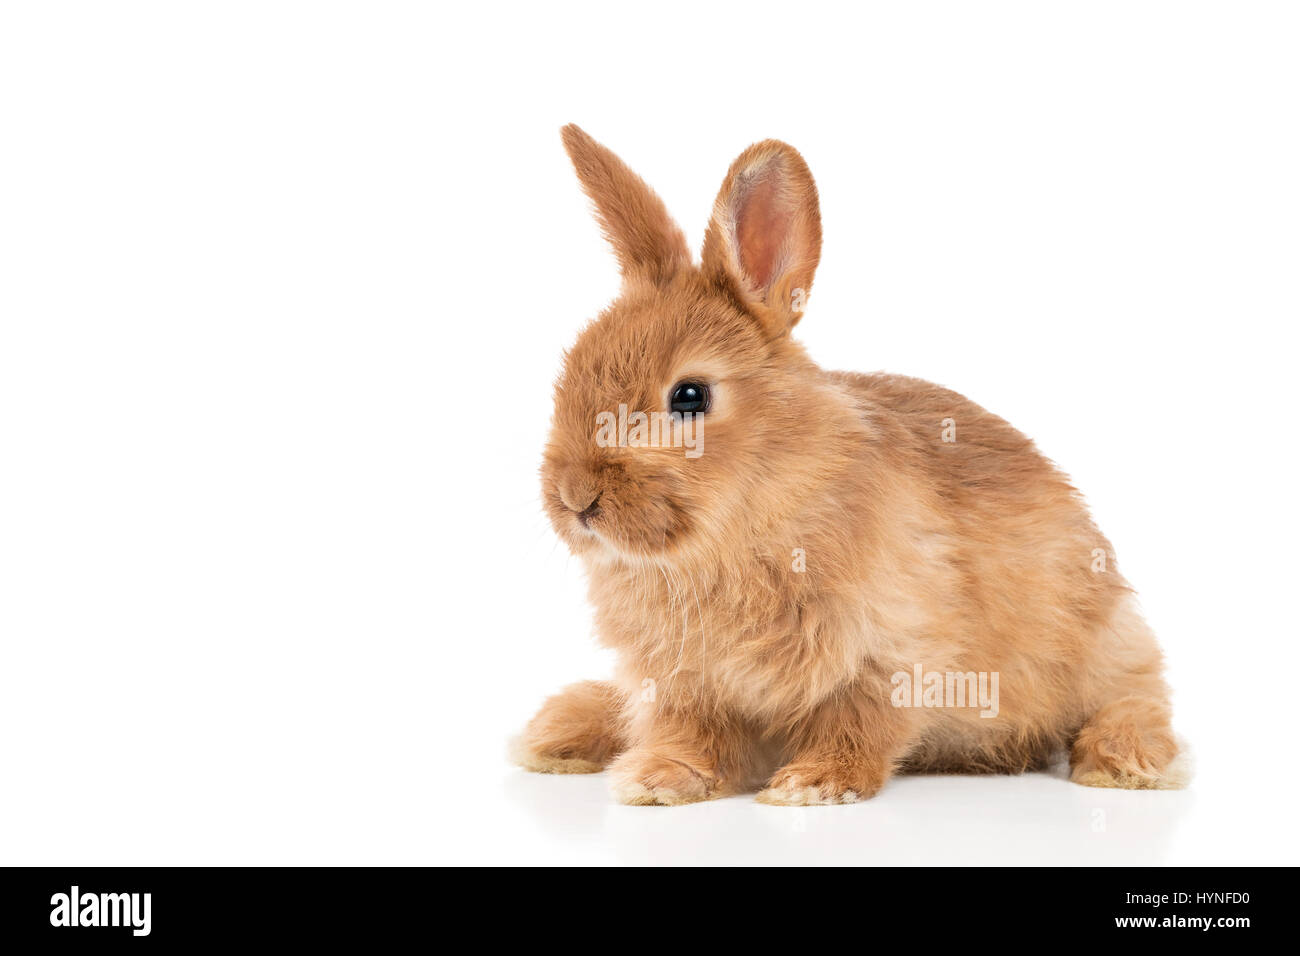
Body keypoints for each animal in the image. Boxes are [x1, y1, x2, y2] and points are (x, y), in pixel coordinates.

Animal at [512, 124, 1183, 805]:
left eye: (690, 396)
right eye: (569, 373)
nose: (575, 497)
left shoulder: (886, 651)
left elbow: (859, 723)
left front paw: (812, 785)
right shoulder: (684, 682)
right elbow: (692, 734)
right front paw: (659, 779)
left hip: (1106, 643)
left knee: (1132, 698)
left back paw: (1125, 764)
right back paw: (557, 732)